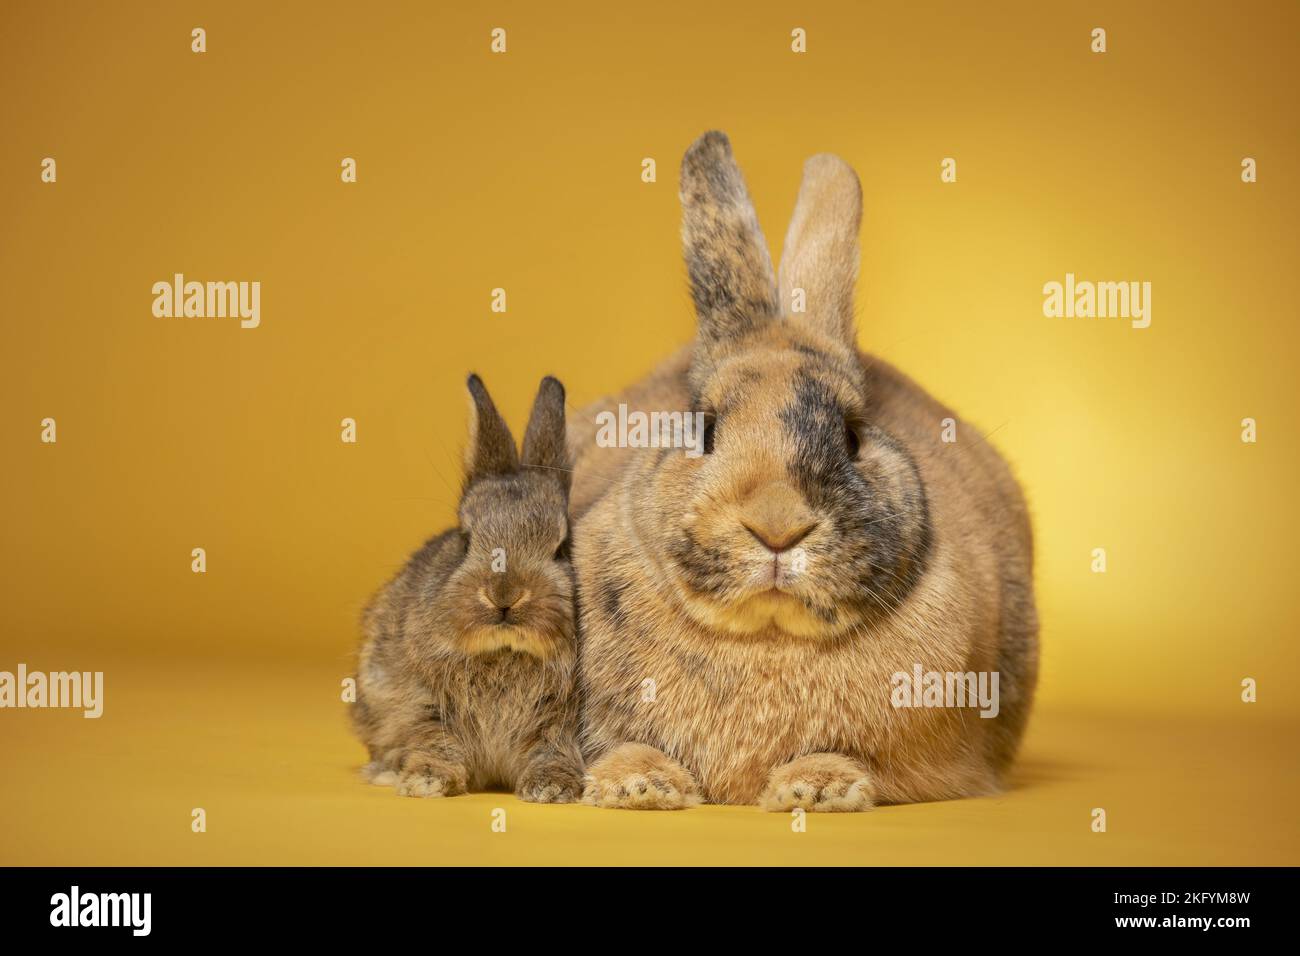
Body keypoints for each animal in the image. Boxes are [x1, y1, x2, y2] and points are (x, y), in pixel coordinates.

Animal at [351, 374, 584, 803]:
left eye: (562, 547)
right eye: (465, 538)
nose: (504, 596)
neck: (503, 653)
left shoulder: (564, 721)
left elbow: (553, 748)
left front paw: (551, 787)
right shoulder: (421, 702)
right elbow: (433, 741)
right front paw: (426, 781)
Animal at [567, 132, 1039, 811]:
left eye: (852, 434)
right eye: (703, 427)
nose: (778, 527)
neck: (768, 638)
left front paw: (818, 788)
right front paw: (639, 785)